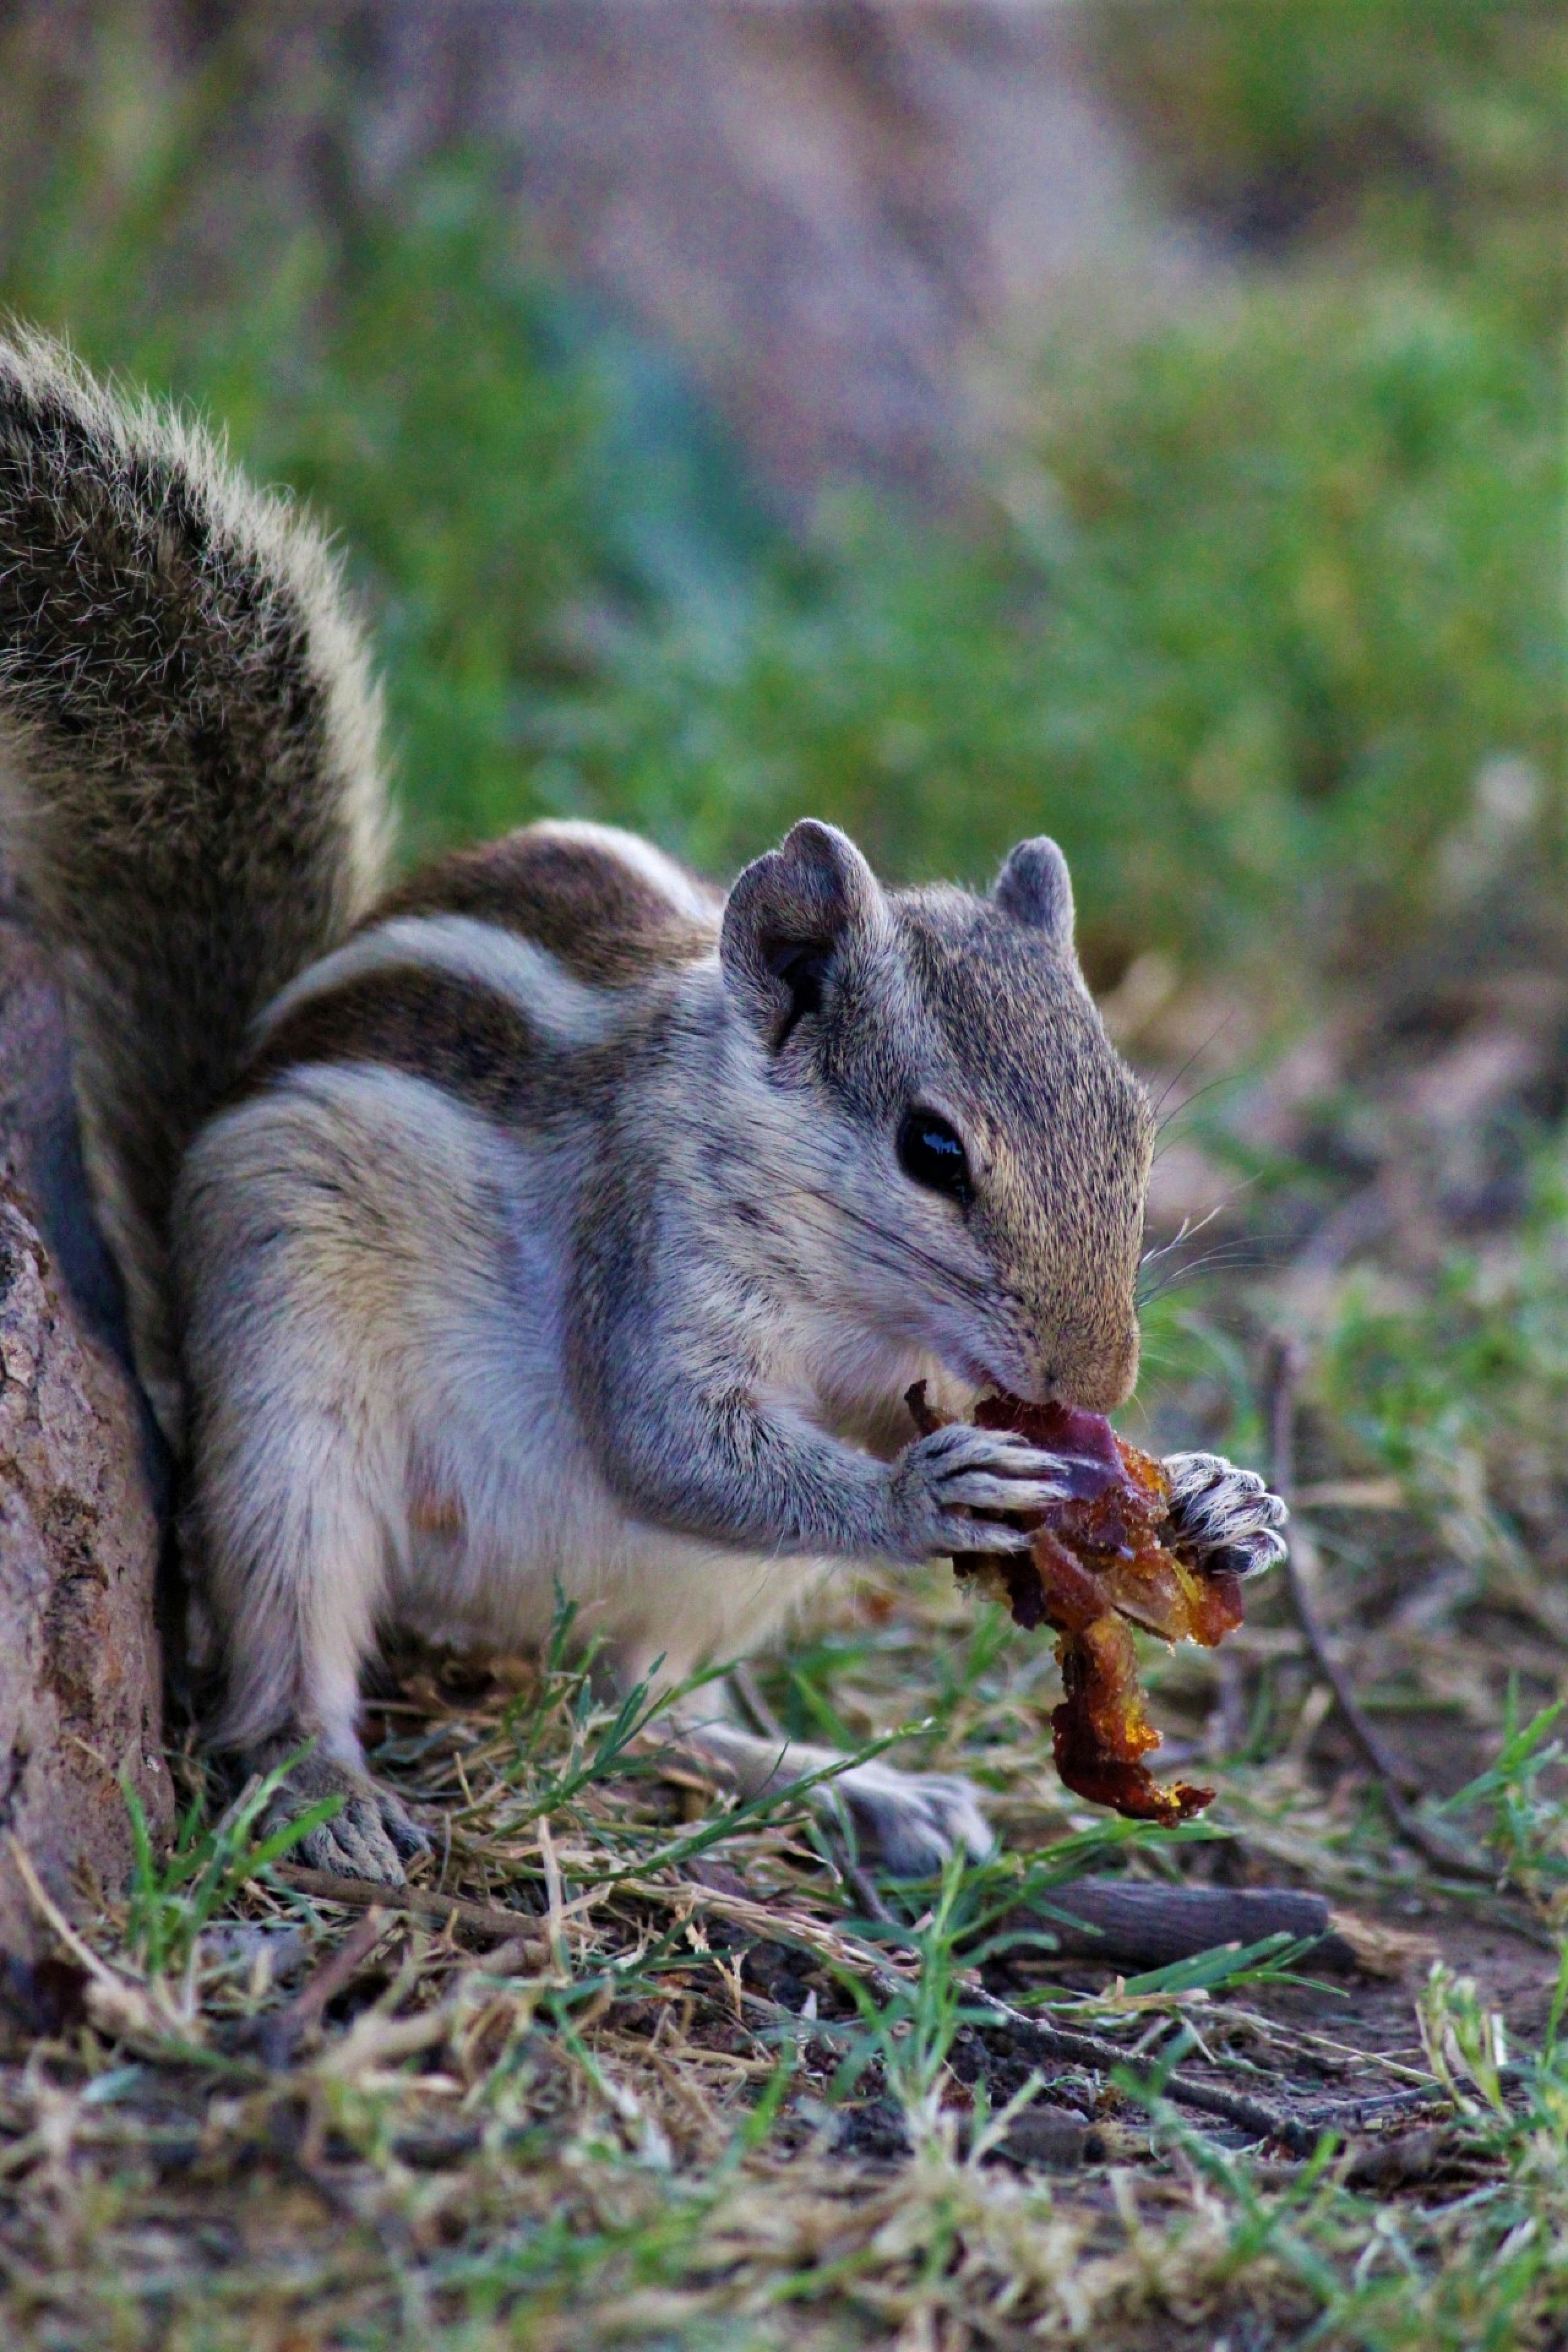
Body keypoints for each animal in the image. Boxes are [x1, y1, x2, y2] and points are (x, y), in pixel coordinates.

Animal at [0, 333, 1286, 1883]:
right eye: (931, 1149)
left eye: (1136, 1125)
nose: (1098, 1381)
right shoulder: (645, 1239)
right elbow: (666, 1436)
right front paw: (927, 1499)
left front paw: (1218, 1496)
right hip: (284, 1411)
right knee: (286, 1630)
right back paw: (327, 1782)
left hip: (712, 1596)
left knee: (641, 1711)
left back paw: (856, 1790)